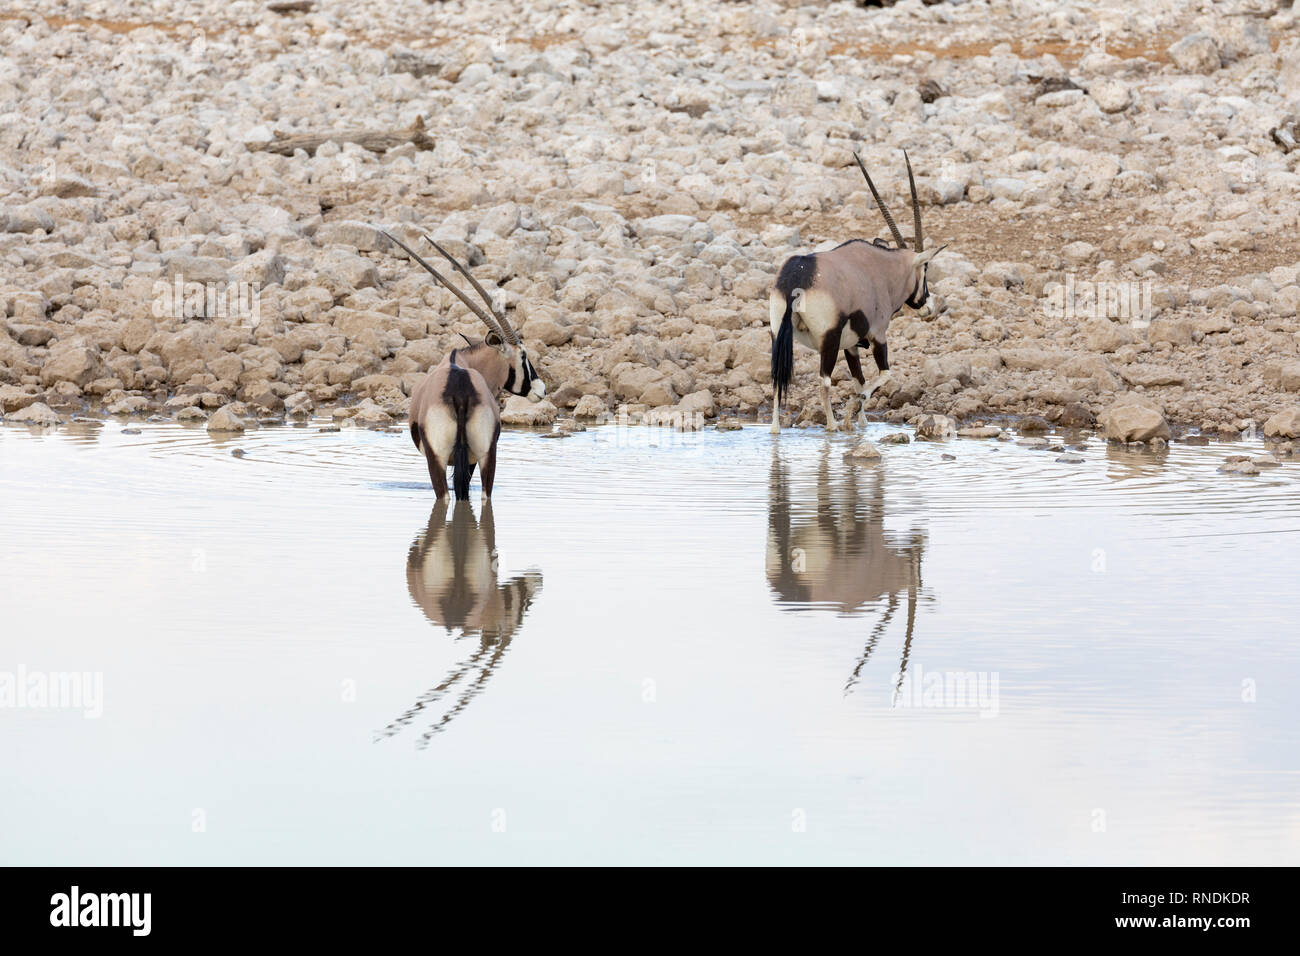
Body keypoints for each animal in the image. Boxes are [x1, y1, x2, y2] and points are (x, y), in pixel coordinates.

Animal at [383, 231, 545, 500]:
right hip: (483, 454)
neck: (462, 361)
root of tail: (459, 390)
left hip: (447, 458)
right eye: (523, 356)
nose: (541, 389)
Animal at [769, 151, 946, 433]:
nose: (928, 307)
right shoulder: (877, 336)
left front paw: (861, 423)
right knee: (824, 381)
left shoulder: (850, 346)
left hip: (778, 333)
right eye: (926, 268)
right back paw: (832, 426)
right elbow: (883, 376)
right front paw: (852, 411)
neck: (882, 268)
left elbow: (859, 380)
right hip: (828, 339)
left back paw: (775, 430)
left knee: (777, 378)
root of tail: (798, 275)